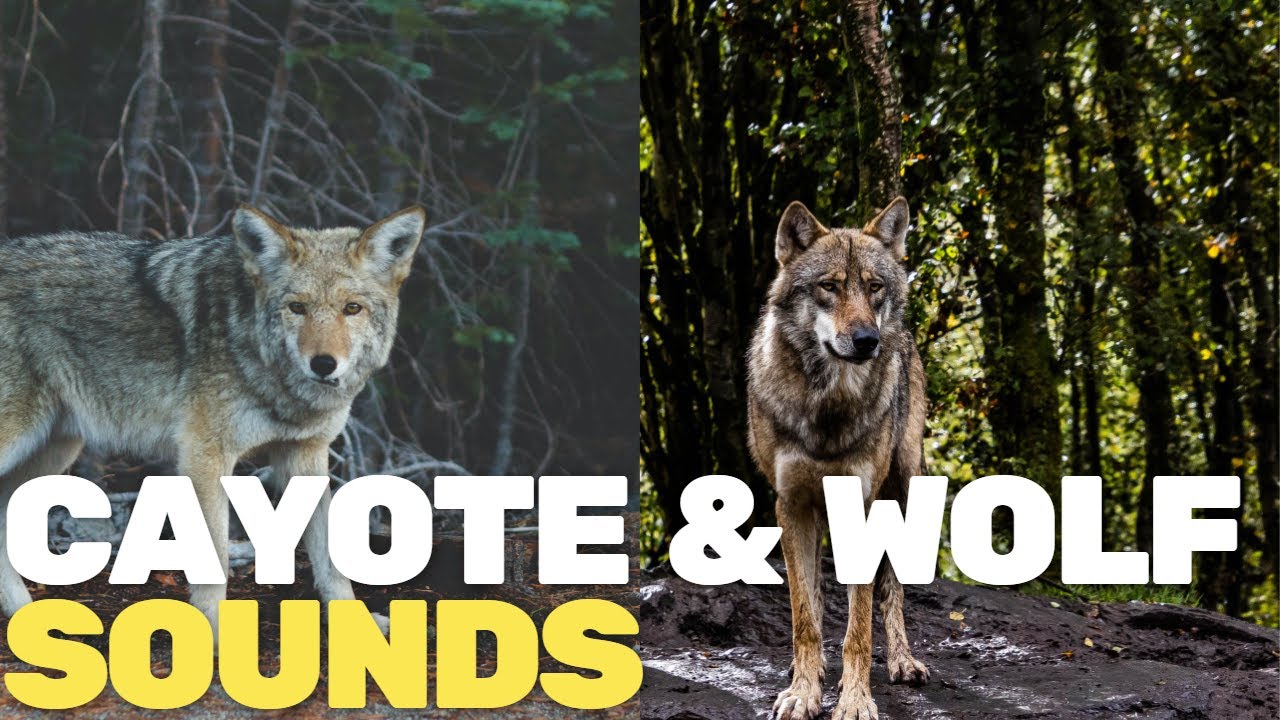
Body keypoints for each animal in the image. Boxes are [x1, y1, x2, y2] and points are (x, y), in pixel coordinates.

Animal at [0, 204, 425, 633]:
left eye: (351, 308)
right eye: (297, 307)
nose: (323, 364)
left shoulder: (304, 453)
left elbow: (330, 557)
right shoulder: (204, 455)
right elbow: (216, 557)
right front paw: (215, 630)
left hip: (55, 450)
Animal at [747, 197, 929, 720]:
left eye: (874, 287)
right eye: (829, 286)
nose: (867, 339)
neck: (829, 403)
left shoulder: (863, 506)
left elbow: (859, 625)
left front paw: (855, 699)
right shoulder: (790, 503)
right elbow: (804, 615)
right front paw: (804, 691)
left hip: (902, 491)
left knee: (892, 591)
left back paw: (903, 661)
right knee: (815, 590)